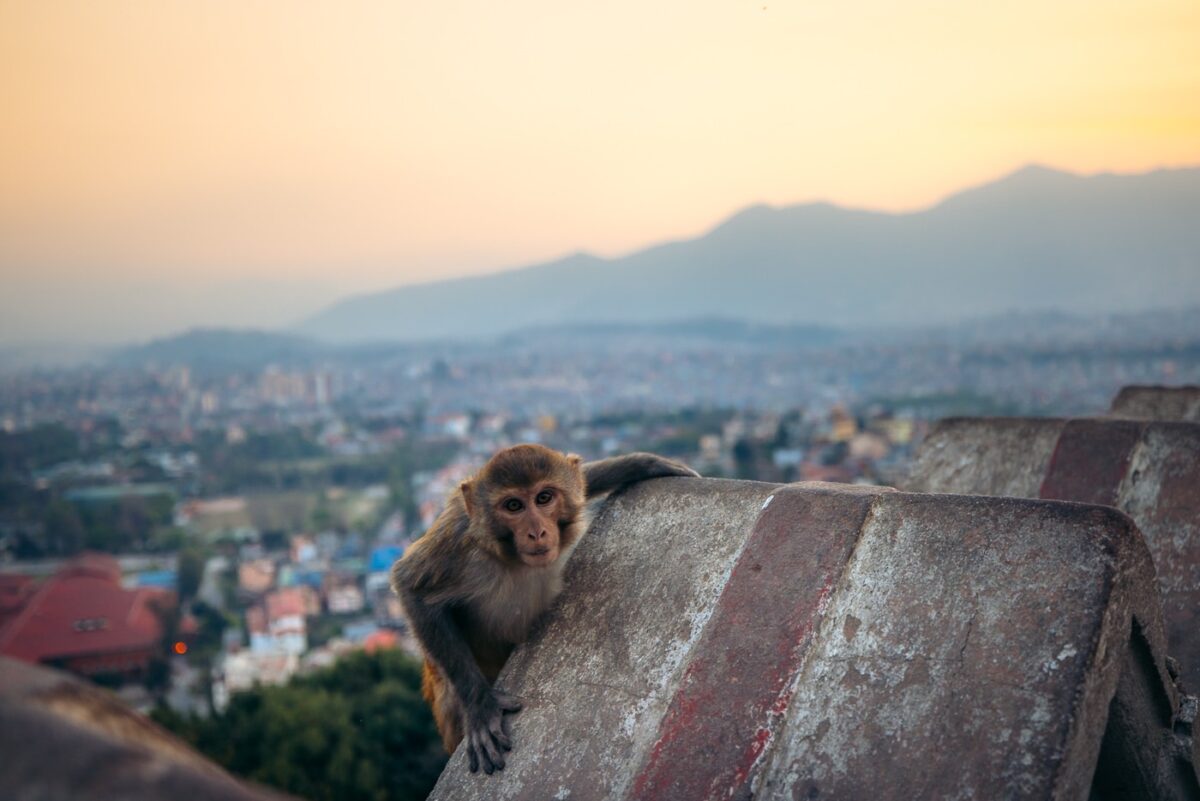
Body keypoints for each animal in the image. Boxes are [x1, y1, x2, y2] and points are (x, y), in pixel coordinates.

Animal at [390, 444, 698, 774]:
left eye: (544, 498)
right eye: (513, 506)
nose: (536, 532)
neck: (511, 559)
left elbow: (582, 479)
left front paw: (645, 463)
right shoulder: (459, 540)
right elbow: (411, 587)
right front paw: (481, 705)